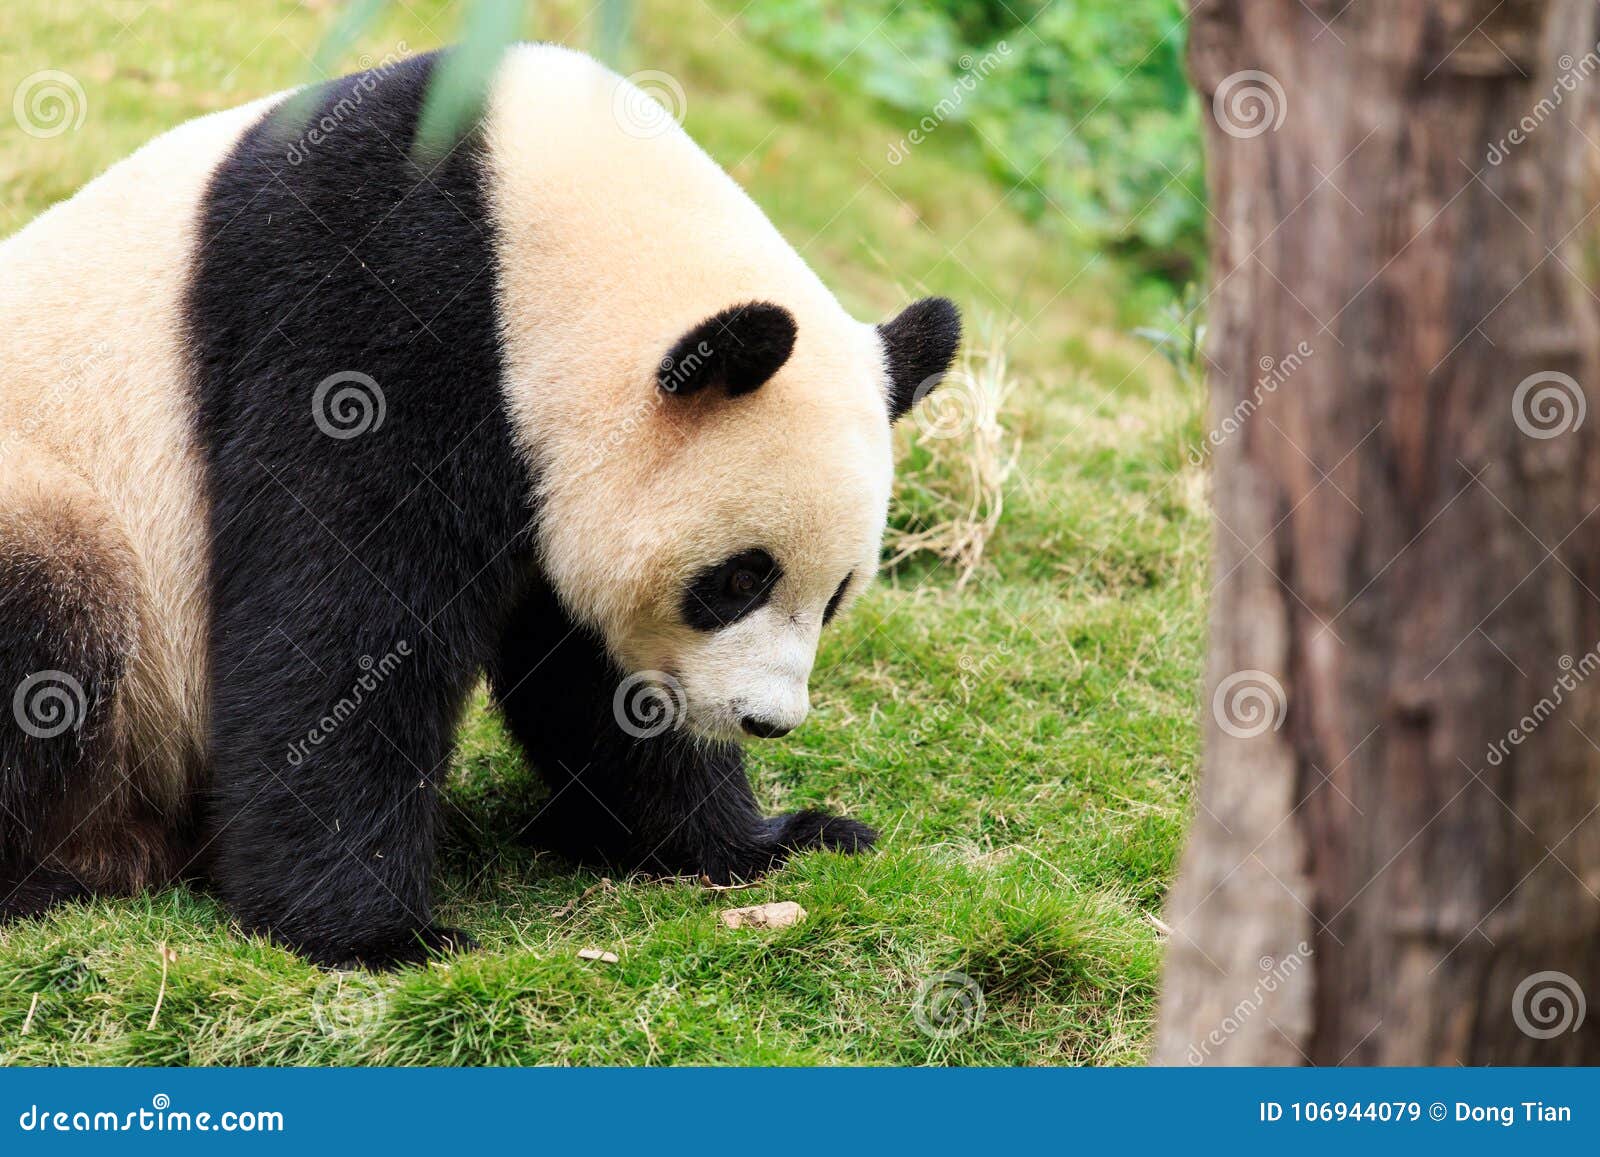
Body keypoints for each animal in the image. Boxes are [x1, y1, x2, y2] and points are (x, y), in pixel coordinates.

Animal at [0, 44, 960, 967]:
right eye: (737, 579)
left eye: (834, 597)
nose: (767, 720)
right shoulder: (367, 316)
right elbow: (339, 626)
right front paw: (374, 935)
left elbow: (589, 674)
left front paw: (774, 838)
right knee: (54, 610)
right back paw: (55, 877)